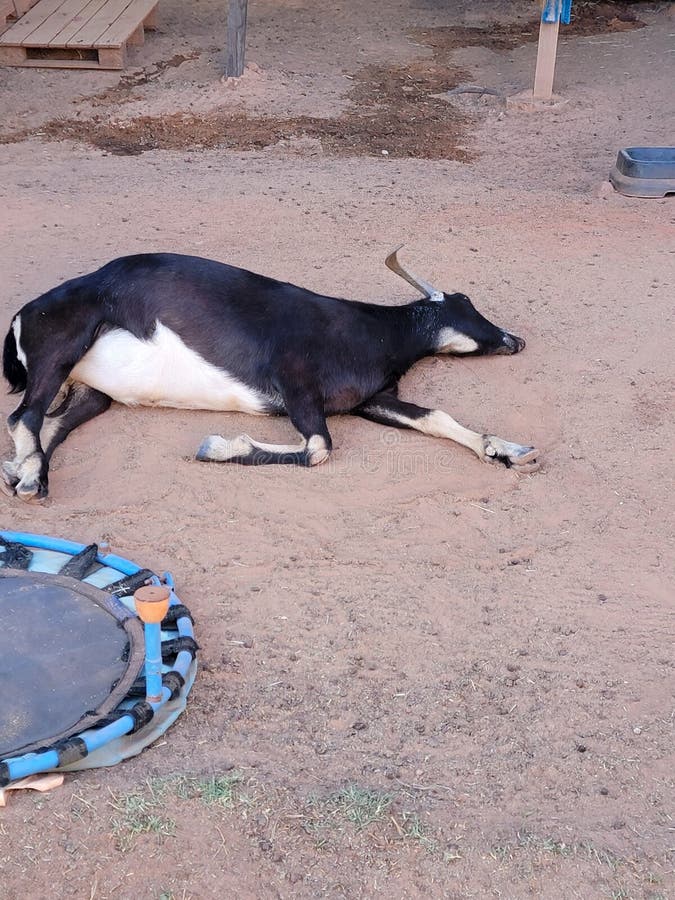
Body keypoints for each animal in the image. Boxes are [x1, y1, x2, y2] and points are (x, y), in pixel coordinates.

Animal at [2, 248, 539, 501]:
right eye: (467, 302)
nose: (515, 340)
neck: (375, 332)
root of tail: (27, 312)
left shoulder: (371, 400)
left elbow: (435, 417)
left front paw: (509, 451)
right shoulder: (295, 384)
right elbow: (319, 448)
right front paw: (217, 447)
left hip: (92, 391)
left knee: (51, 423)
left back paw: (21, 471)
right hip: (62, 345)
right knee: (22, 416)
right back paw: (29, 483)